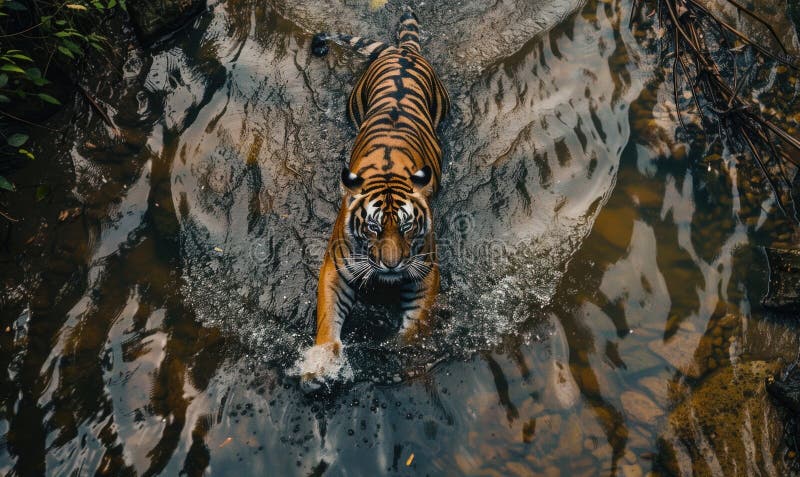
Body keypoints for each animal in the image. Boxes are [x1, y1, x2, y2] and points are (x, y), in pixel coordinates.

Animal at [301, 10, 450, 391]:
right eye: (371, 228)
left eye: (408, 227)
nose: (392, 266)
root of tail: (402, 51)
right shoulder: (336, 269)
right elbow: (328, 322)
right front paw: (320, 367)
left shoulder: (425, 271)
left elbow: (415, 326)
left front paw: (398, 352)